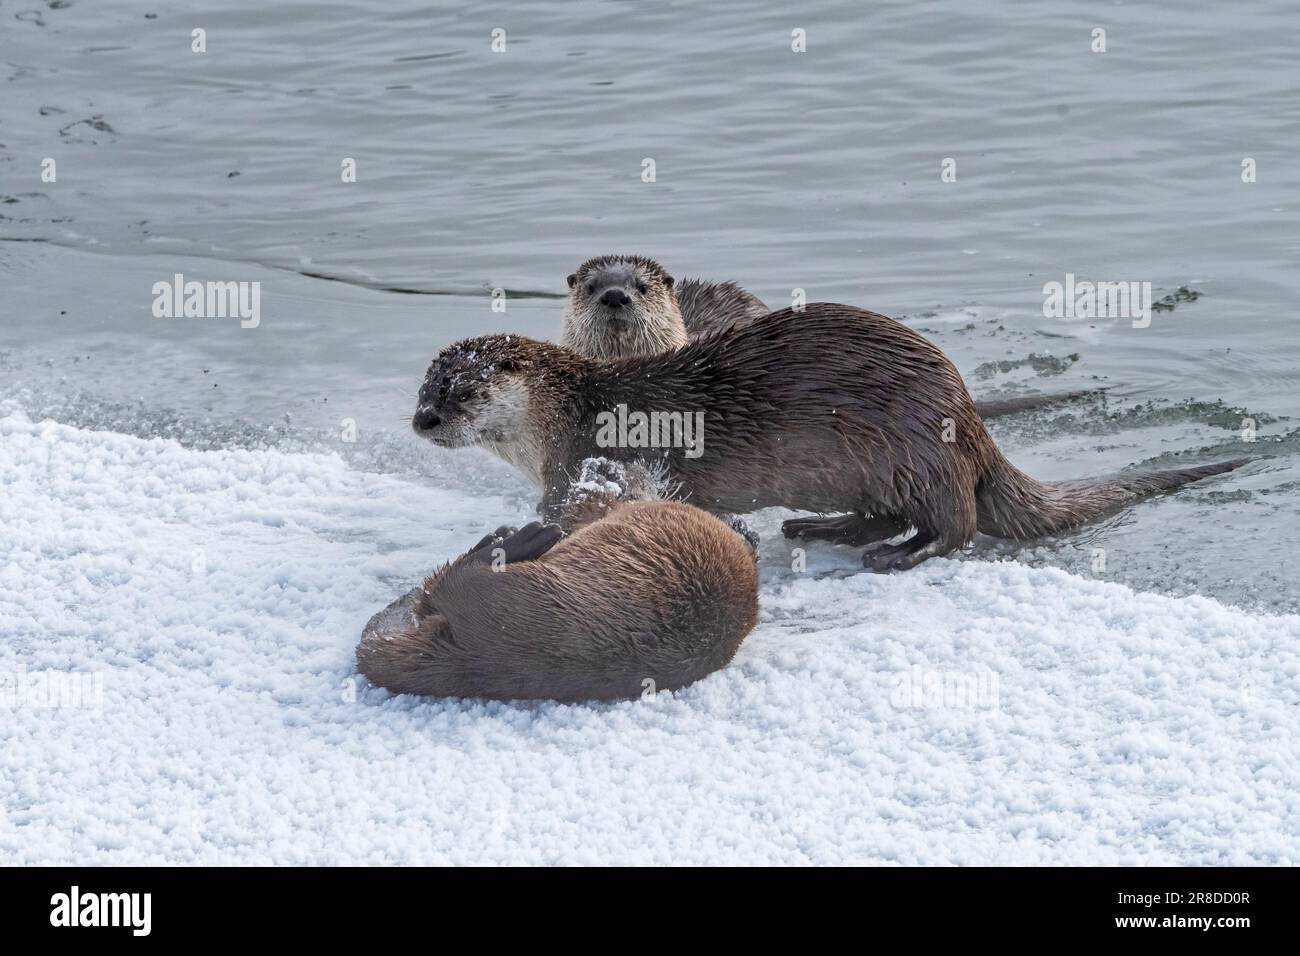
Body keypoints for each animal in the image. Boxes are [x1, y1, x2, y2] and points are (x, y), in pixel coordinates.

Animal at [412, 304, 1248, 571]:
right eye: (423, 388)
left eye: (459, 390)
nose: (422, 421)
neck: (568, 410)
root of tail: (972, 422)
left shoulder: (593, 456)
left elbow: (573, 514)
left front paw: (513, 541)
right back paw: (821, 528)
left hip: (914, 451)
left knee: (956, 526)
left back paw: (894, 556)